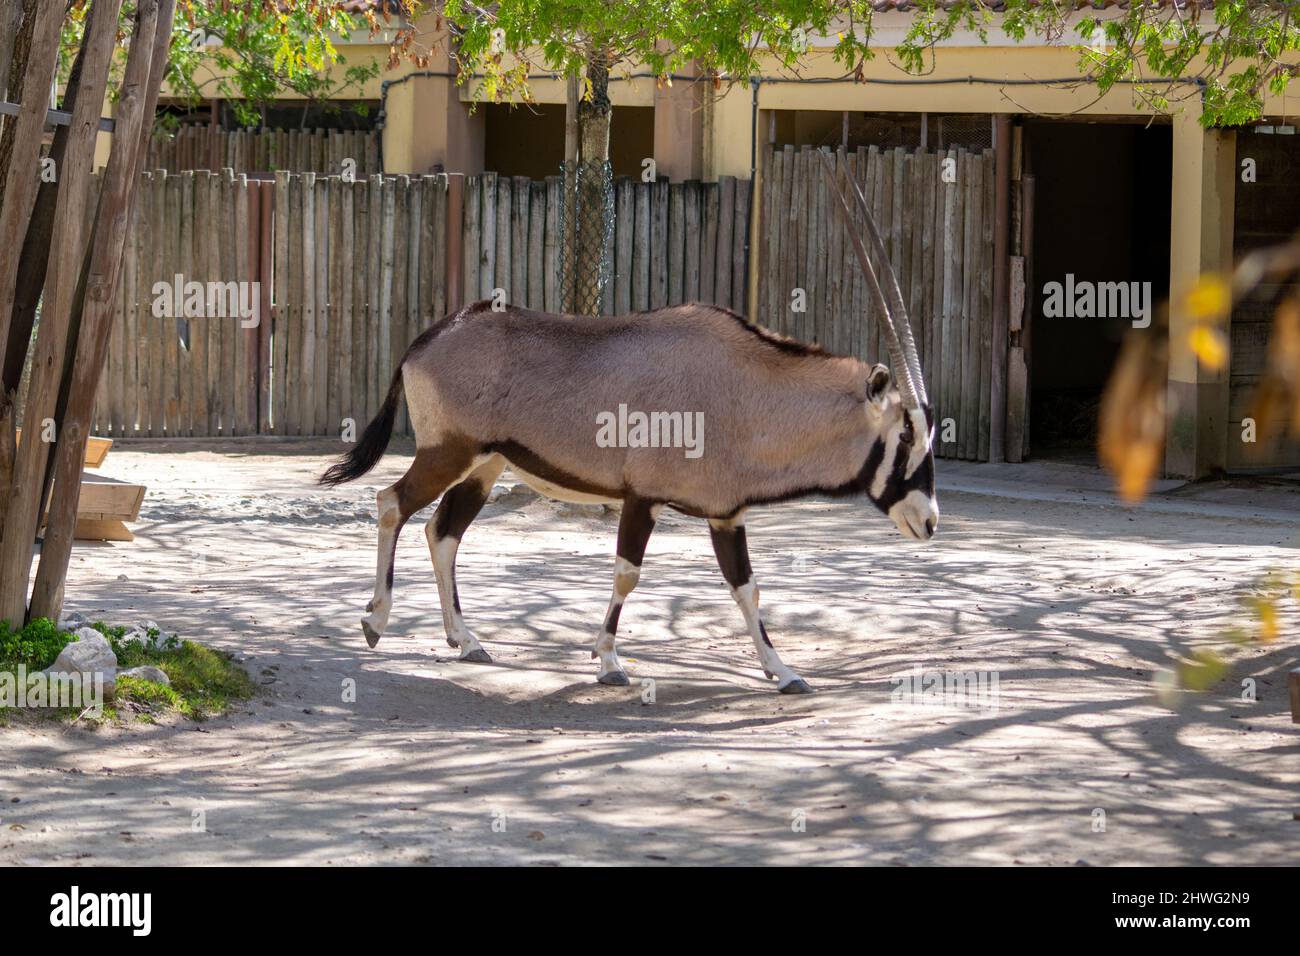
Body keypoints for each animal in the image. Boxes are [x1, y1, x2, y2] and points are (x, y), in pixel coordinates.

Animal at [321, 151, 938, 694]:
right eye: (905, 434)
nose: (930, 522)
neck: (742, 390)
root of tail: (424, 342)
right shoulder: (643, 497)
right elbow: (628, 573)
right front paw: (609, 662)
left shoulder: (725, 515)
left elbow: (747, 588)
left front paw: (783, 672)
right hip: (448, 452)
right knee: (392, 504)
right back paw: (375, 621)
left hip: (484, 465)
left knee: (443, 530)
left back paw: (465, 639)